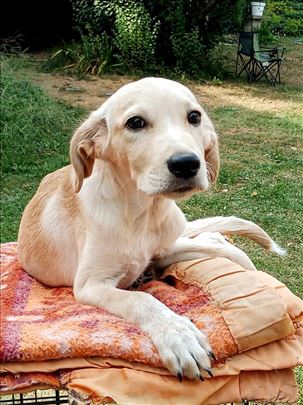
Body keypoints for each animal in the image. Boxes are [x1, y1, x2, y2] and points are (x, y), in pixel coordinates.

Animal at [18, 77, 284, 380]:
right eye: (135, 122)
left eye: (194, 117)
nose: (187, 164)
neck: (142, 213)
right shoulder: (90, 285)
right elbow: (142, 300)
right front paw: (179, 335)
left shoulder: (161, 250)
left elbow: (231, 255)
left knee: (209, 239)